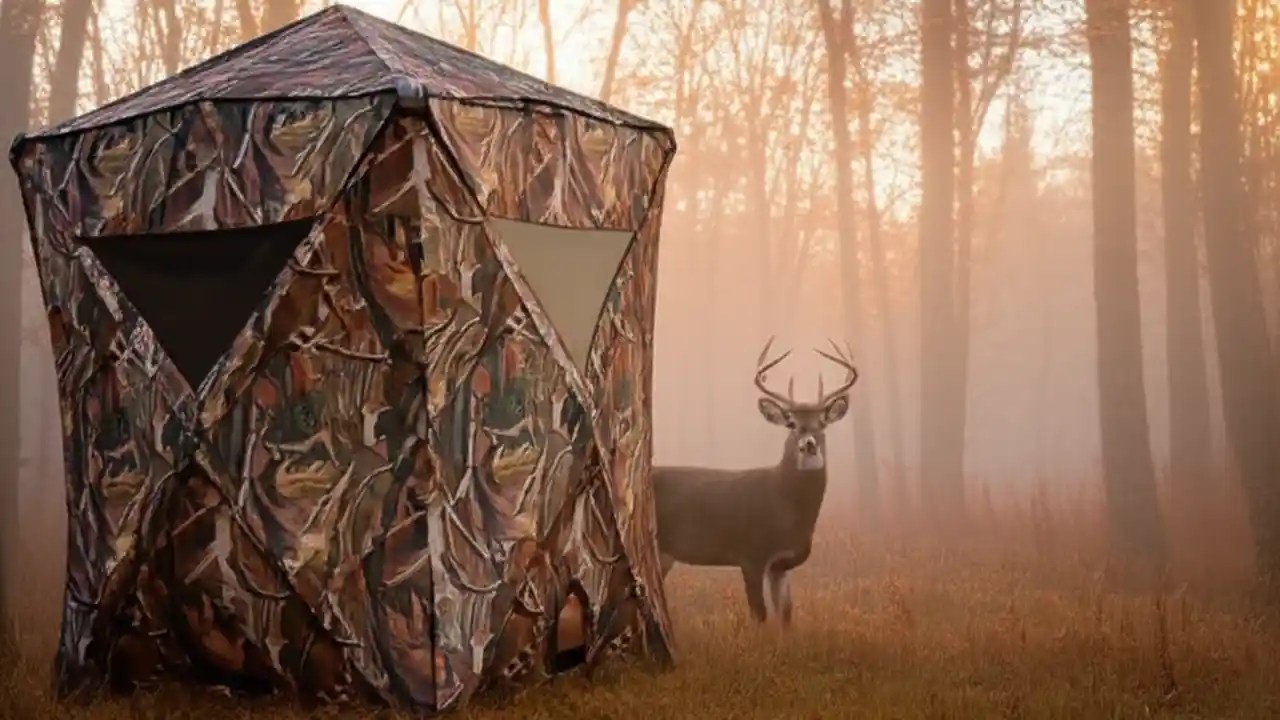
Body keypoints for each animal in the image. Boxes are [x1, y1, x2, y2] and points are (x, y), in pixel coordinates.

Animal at [651, 337, 858, 629]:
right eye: (791, 423)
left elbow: (786, 614)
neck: (784, 503)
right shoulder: (750, 554)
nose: (808, 444)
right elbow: (759, 615)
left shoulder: (780, 564)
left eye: (822, 423)